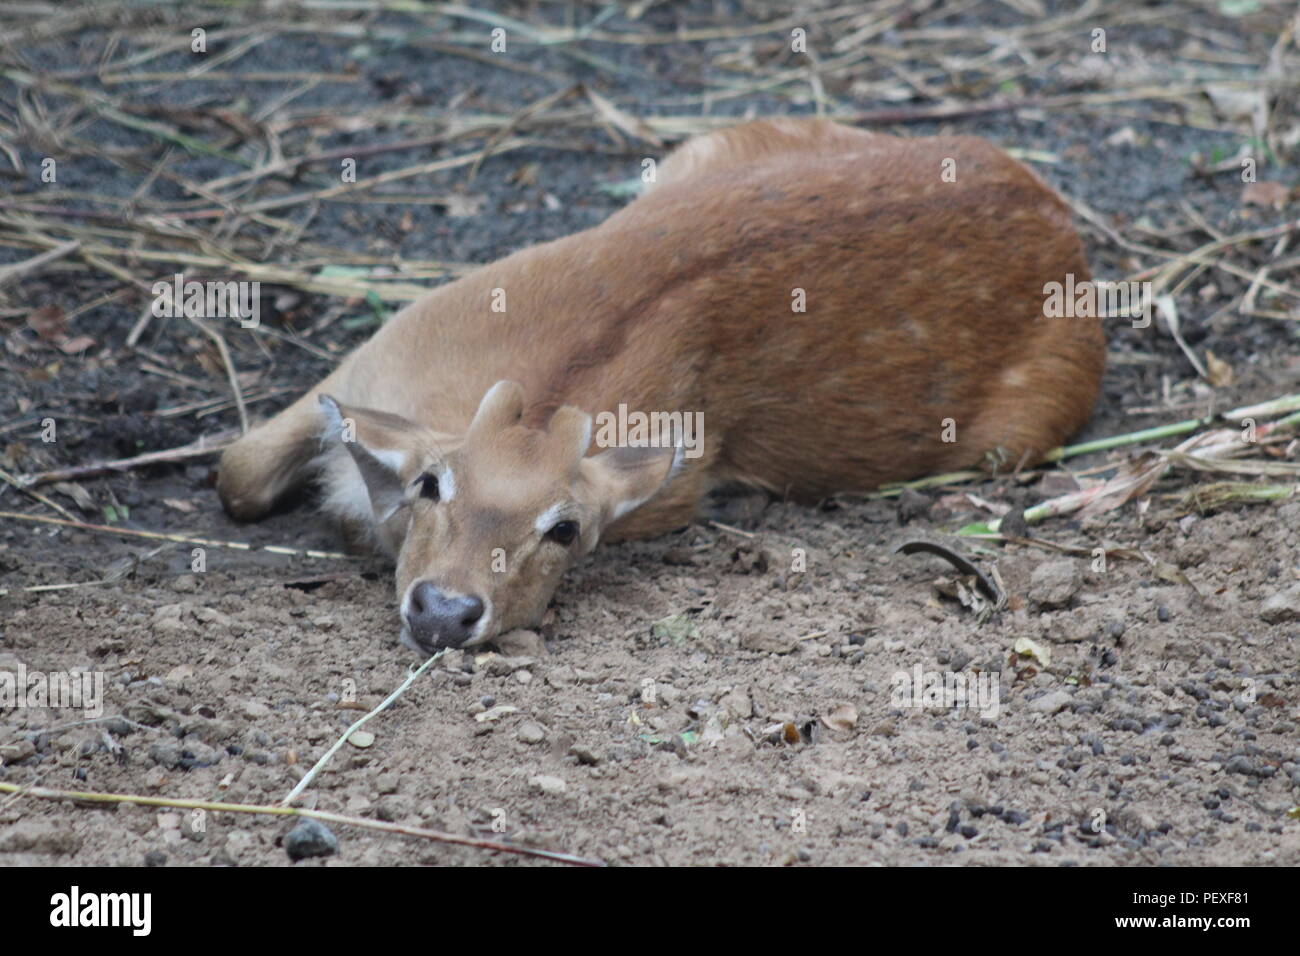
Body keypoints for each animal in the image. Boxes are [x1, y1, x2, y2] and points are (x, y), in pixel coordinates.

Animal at [217, 118, 1105, 655]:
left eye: (568, 529)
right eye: (432, 484)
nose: (442, 612)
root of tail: (1054, 206)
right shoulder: (369, 355)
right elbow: (236, 472)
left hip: (1024, 424)